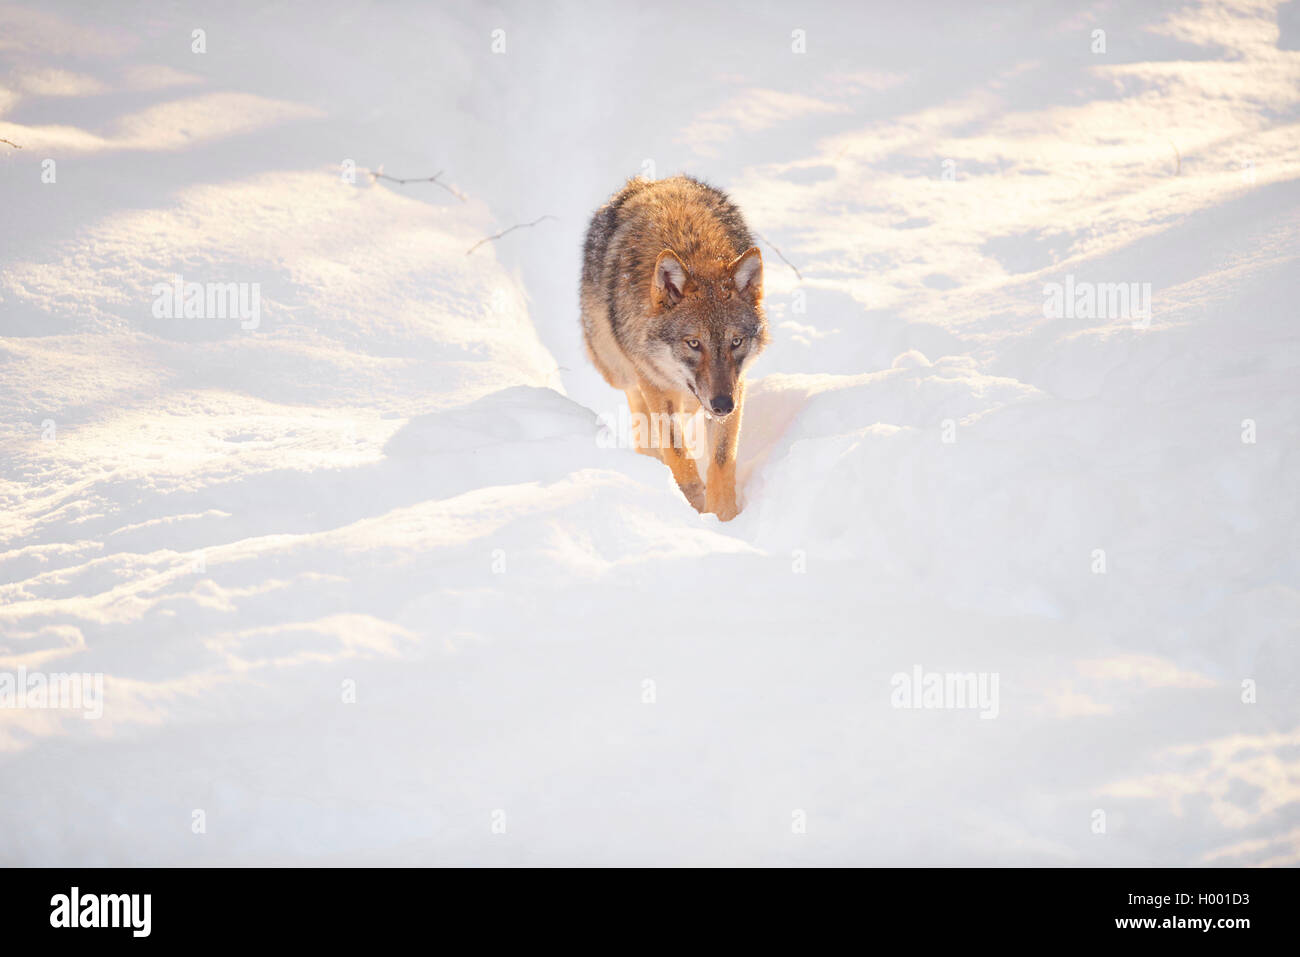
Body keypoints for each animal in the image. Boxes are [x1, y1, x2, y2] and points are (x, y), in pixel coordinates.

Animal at [581, 175, 769, 520]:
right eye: (694, 343)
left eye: (735, 341)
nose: (723, 405)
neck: (693, 249)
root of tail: (650, 181)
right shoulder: (654, 382)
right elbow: (679, 457)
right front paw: (692, 509)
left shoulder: (737, 385)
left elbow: (722, 462)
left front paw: (723, 518)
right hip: (618, 370)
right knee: (640, 413)